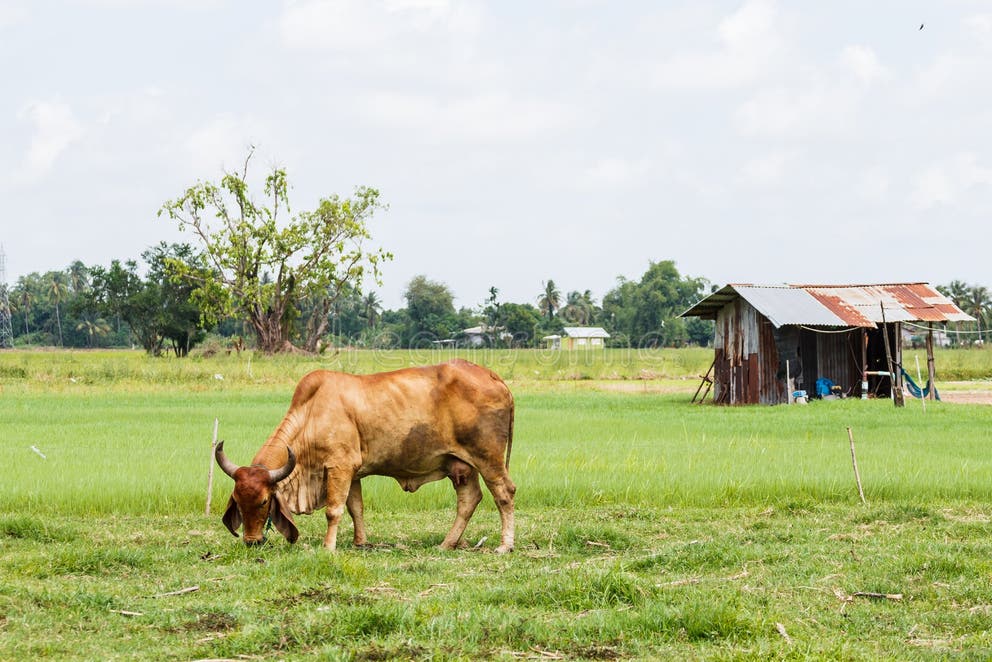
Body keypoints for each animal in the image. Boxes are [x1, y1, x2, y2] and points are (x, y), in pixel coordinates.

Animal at [214, 359, 516, 553]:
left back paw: (505, 545)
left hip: (488, 459)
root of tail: (492, 376)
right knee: (469, 500)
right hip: (462, 466)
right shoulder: (353, 473)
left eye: (264, 501)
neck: (311, 414)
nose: (252, 541)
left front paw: (328, 547)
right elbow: (355, 507)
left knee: (504, 494)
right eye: (237, 501)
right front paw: (360, 542)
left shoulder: (339, 467)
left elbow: (334, 510)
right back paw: (446, 544)